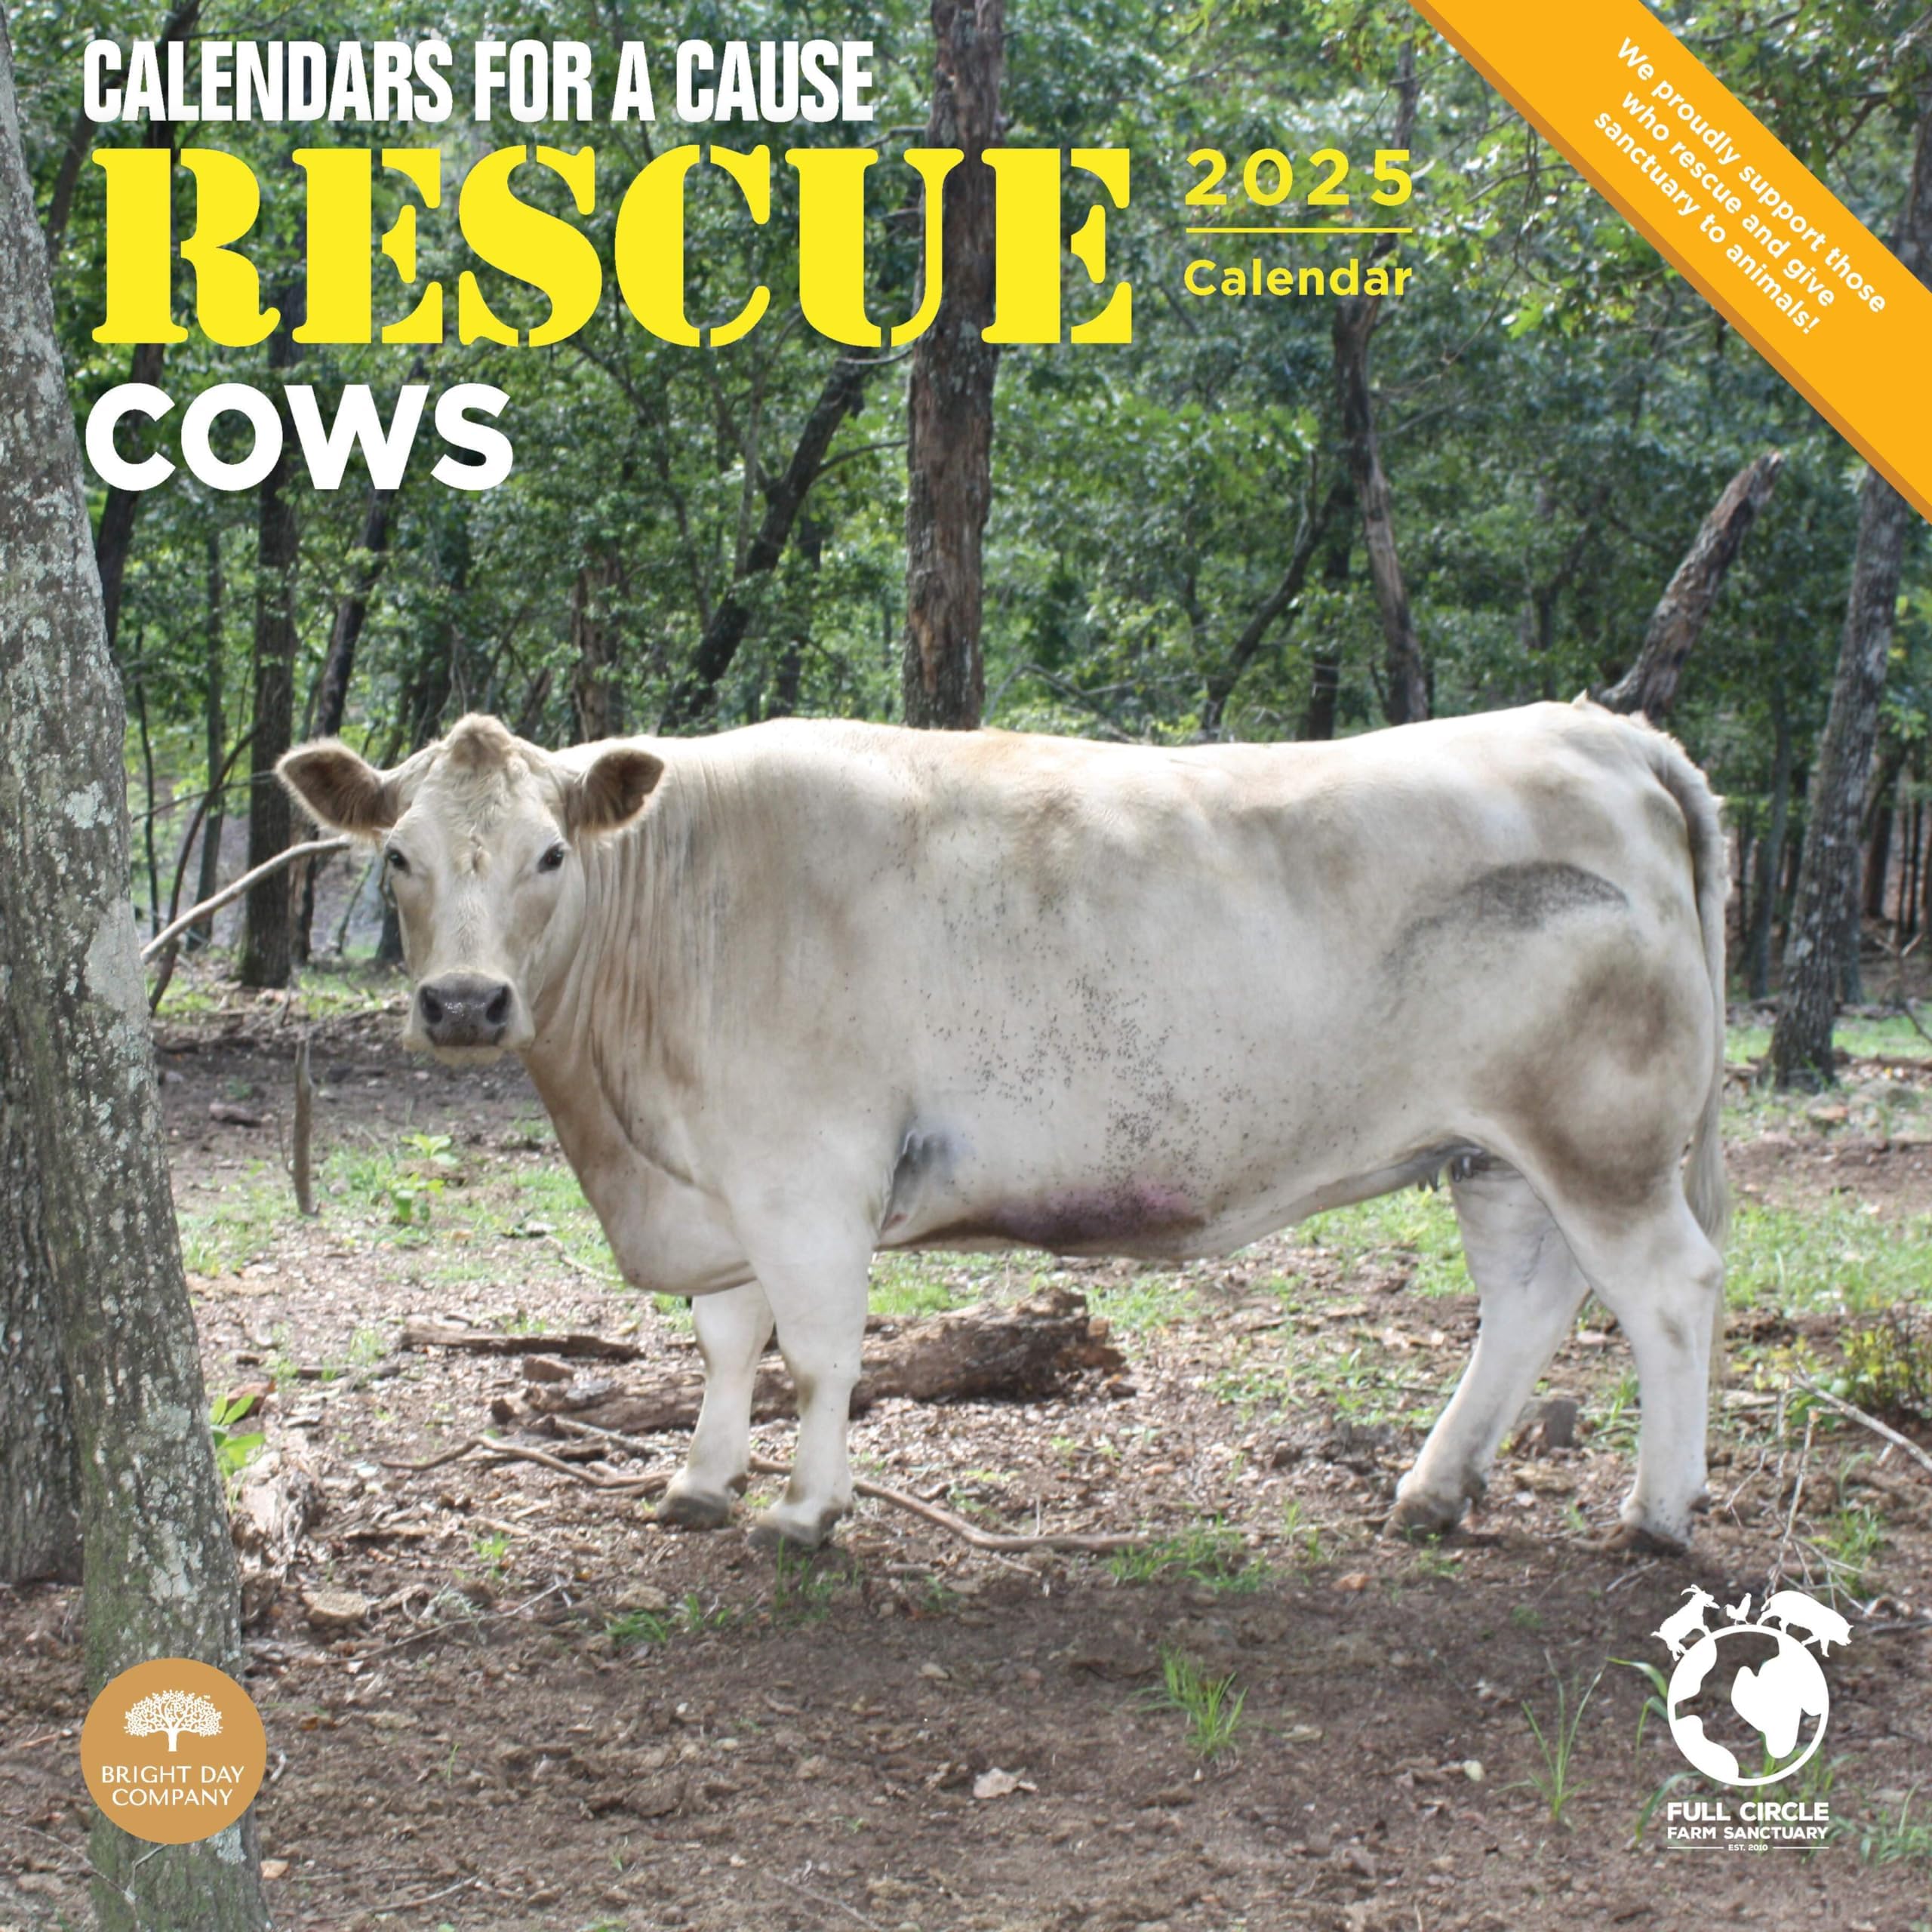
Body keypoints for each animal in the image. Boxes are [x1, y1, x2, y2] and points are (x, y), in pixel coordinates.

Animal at [279, 697, 1728, 1555]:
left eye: (550, 855)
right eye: (397, 857)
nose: (465, 1004)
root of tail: (1603, 730)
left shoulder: (807, 1174)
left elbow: (818, 1352)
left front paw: (802, 1511)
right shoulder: (720, 1180)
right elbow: (729, 1340)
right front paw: (700, 1481)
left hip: (1601, 1137)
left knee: (1668, 1288)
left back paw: (1655, 1514)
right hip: (1495, 1151)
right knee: (1530, 1297)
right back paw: (1435, 1490)